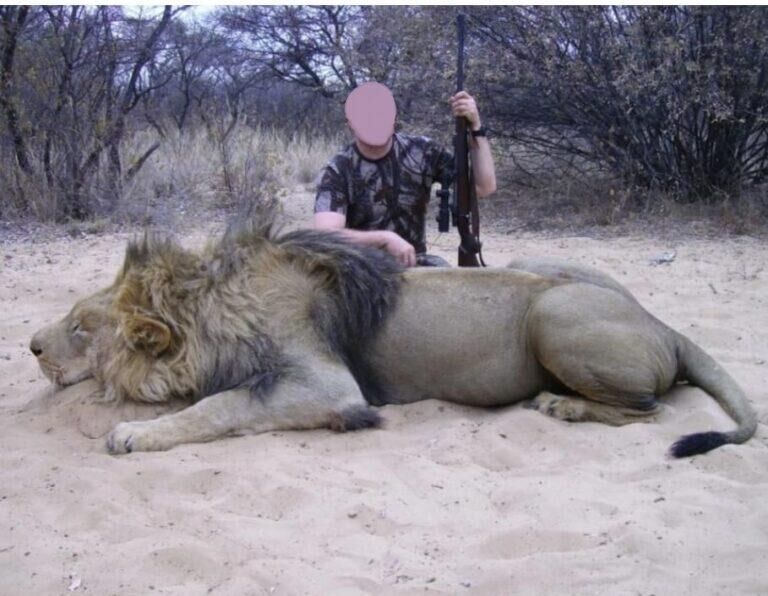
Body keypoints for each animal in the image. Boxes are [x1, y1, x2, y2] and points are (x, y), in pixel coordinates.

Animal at [30, 220, 757, 458]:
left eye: (80, 328)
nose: (32, 347)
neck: (213, 308)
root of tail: (665, 326)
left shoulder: (328, 385)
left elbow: (219, 406)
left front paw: (132, 433)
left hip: (554, 313)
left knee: (649, 408)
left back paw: (562, 404)